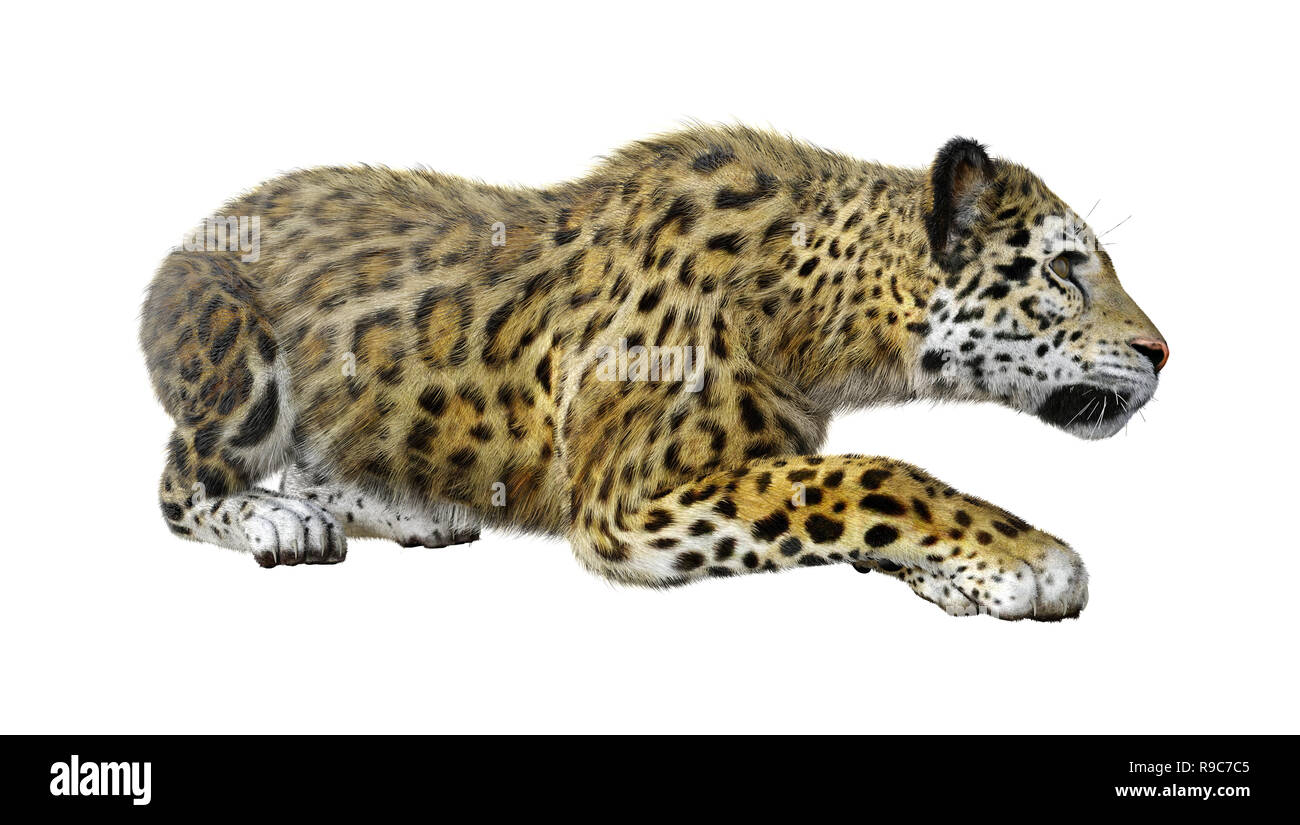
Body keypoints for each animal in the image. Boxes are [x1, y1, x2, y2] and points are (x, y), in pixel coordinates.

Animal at [140, 124, 1168, 620]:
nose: (1164, 352)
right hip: (240, 359)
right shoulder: (626, 499)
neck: (819, 315)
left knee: (323, 464)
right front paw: (1028, 557)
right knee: (184, 486)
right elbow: (870, 476)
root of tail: (201, 229)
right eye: (1066, 268)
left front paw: (967, 578)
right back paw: (281, 521)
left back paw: (413, 509)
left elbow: (853, 503)